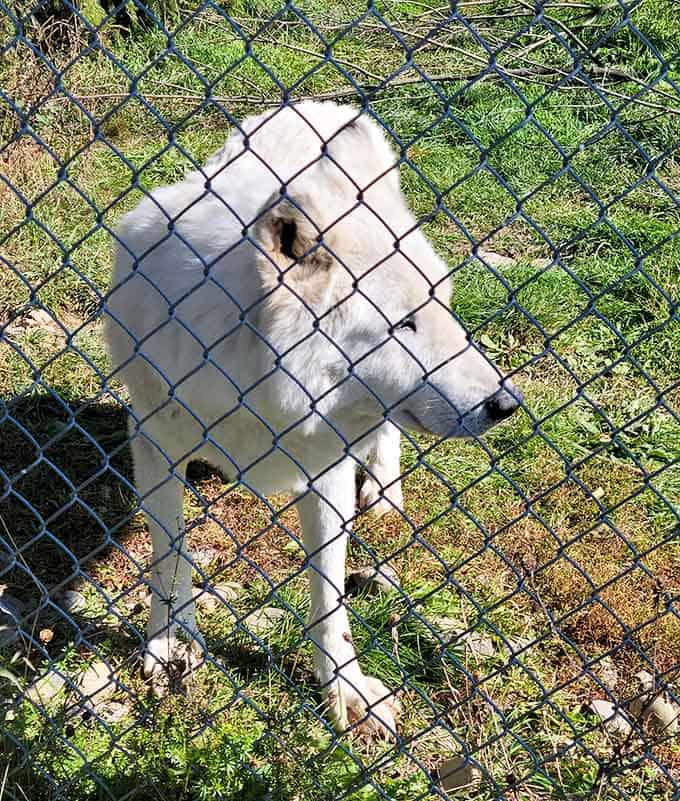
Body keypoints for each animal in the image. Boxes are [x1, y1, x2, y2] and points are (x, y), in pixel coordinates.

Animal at [104, 101, 521, 738]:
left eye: (444, 309)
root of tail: (322, 101)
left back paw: (385, 489)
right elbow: (170, 551)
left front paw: (346, 691)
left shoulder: (326, 473)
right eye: (404, 325)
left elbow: (330, 601)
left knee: (384, 436)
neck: (258, 388)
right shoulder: (153, 443)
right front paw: (171, 639)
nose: (507, 404)